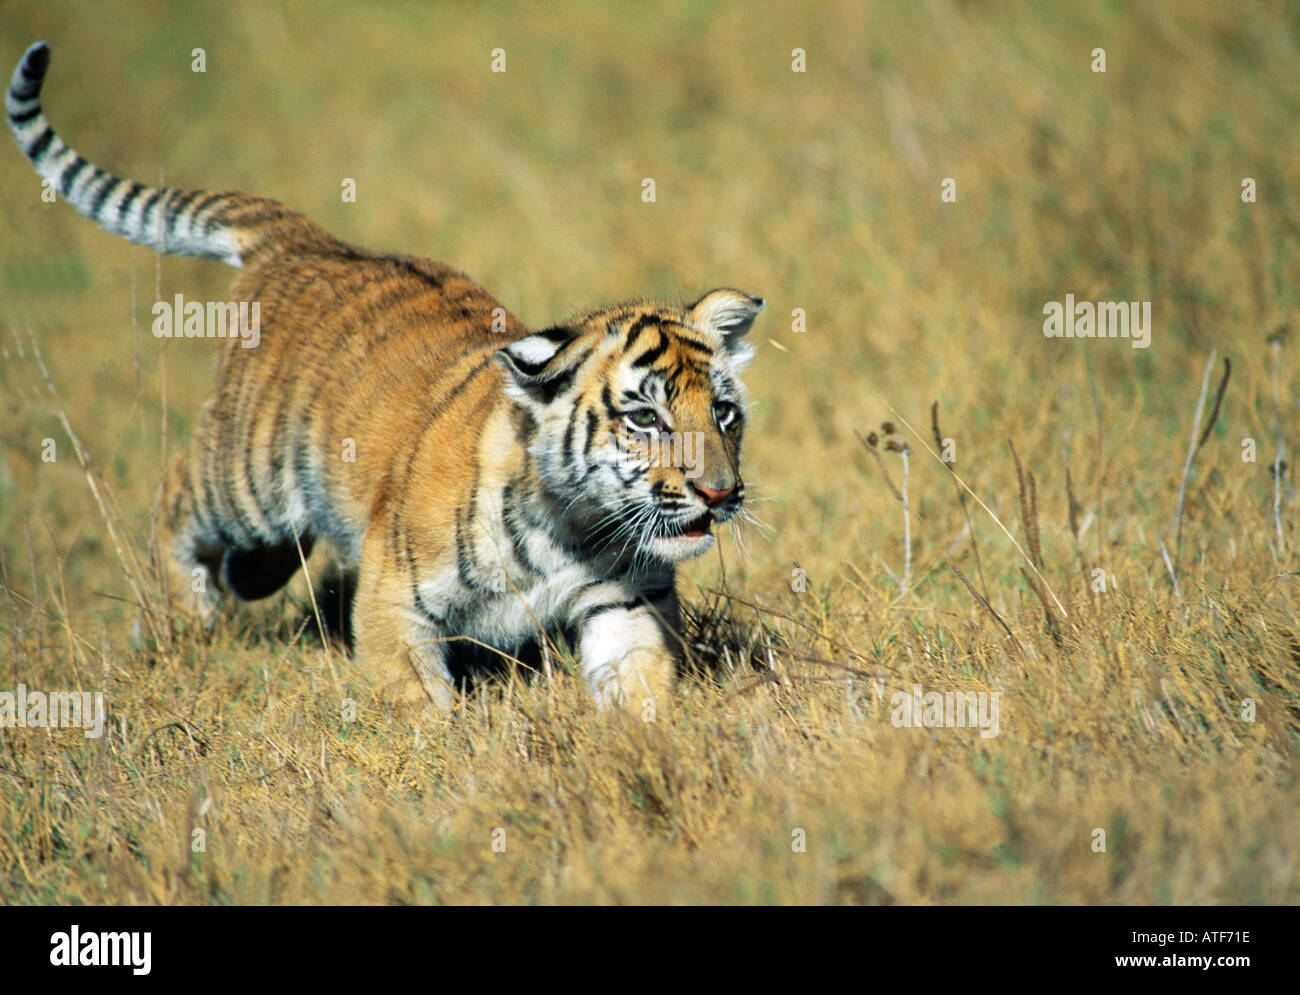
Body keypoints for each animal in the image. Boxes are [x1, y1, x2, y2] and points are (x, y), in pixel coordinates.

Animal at [6, 41, 763, 716]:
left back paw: (244, 580)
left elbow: (639, 688)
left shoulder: (627, 600)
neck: (575, 529)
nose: (720, 492)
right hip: (247, 477)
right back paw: (182, 619)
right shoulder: (395, 599)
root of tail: (307, 243)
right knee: (175, 485)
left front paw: (650, 742)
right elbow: (420, 705)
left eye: (723, 414)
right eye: (645, 419)